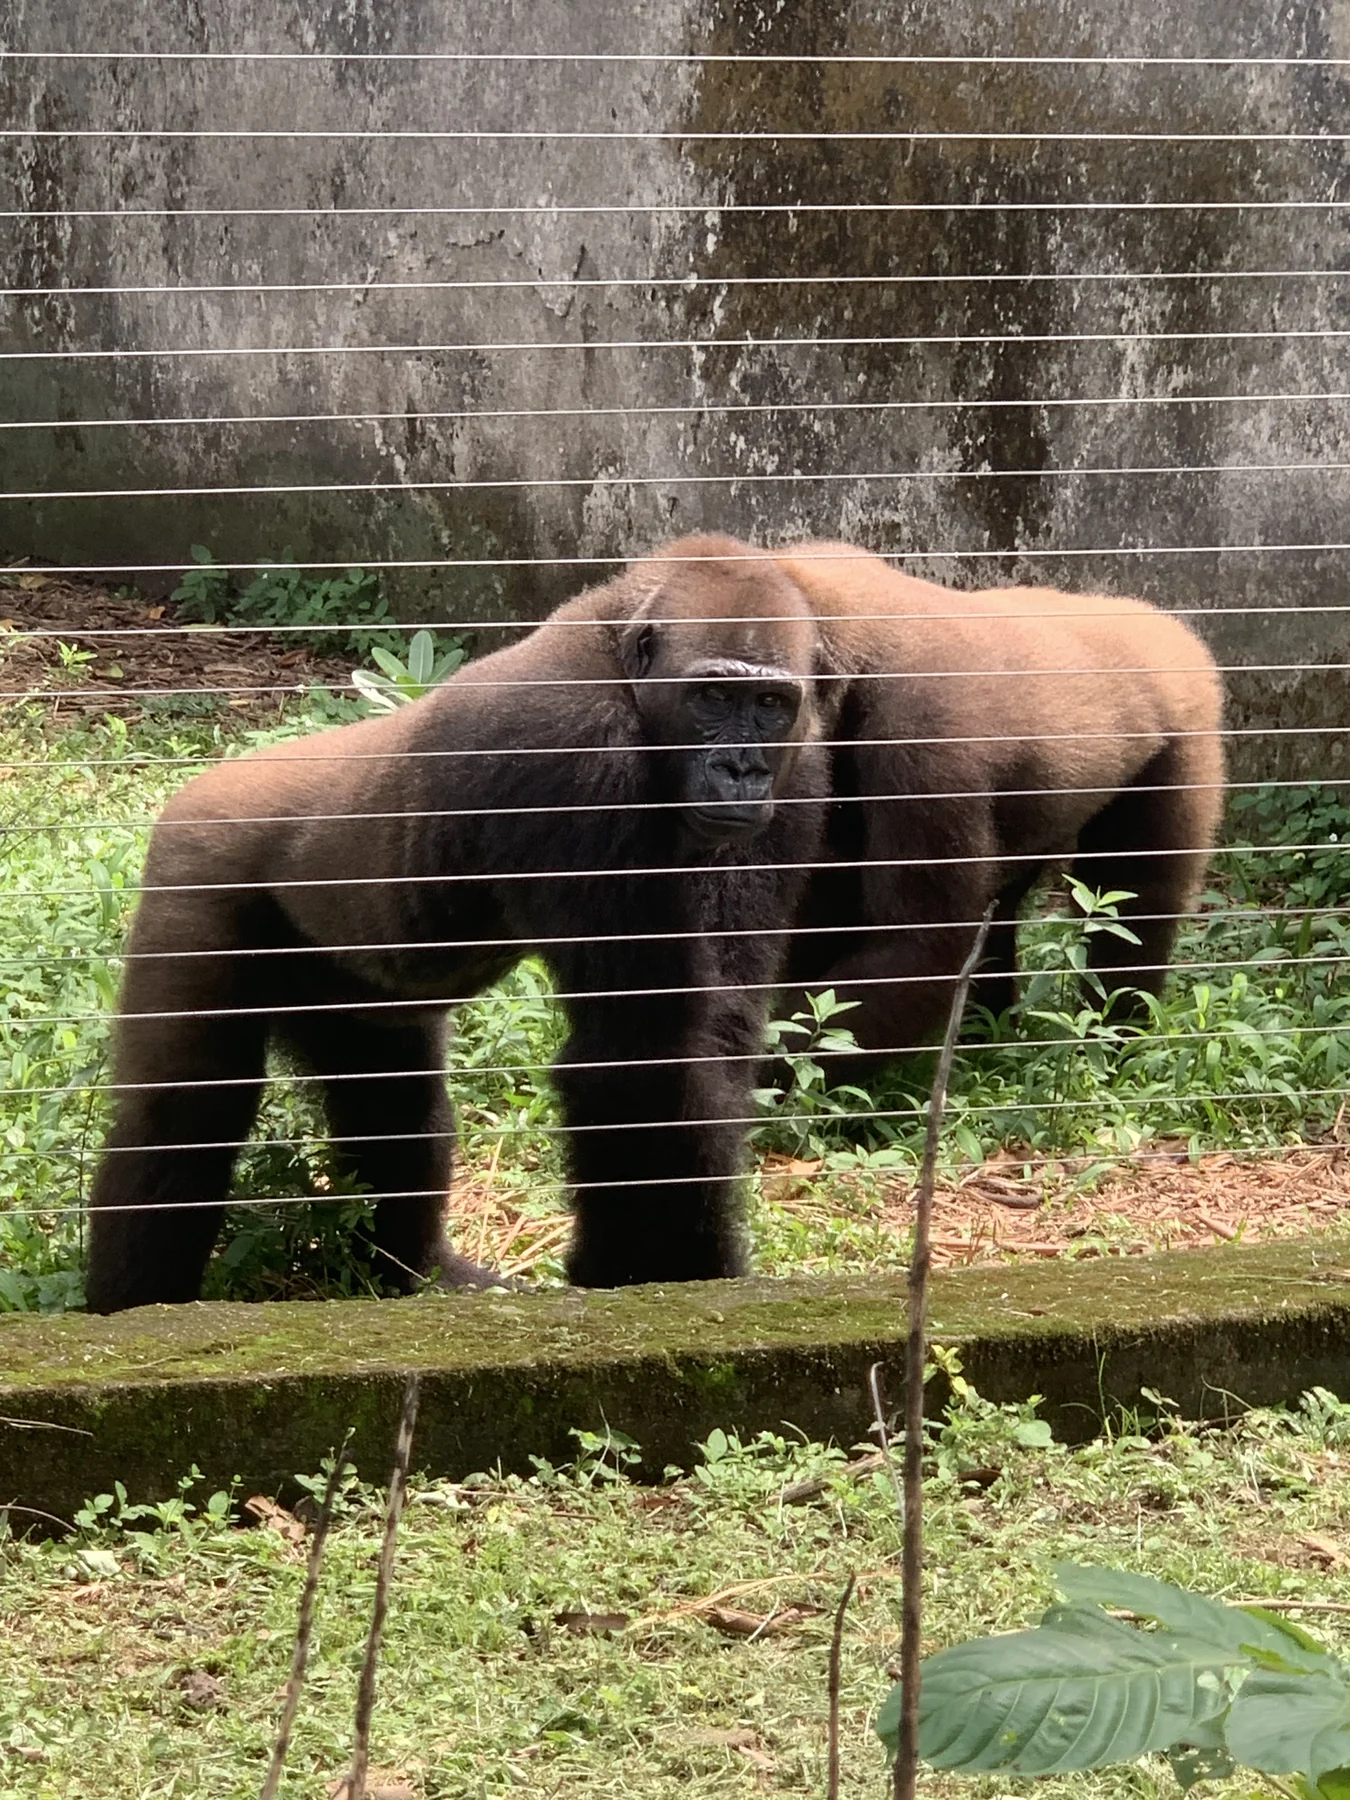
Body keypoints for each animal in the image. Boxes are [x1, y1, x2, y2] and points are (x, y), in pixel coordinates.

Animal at [84, 536, 834, 1311]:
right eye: (713, 696)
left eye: (770, 705)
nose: (741, 769)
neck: (621, 660)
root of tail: (201, 785)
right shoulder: (577, 757)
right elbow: (640, 1051)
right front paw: (646, 1280)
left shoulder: (799, 769)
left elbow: (712, 1034)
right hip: (196, 866)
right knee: (185, 1111)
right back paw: (136, 1305)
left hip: (347, 978)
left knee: (394, 1104)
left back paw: (408, 1272)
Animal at [769, 542, 1225, 1066]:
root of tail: (1162, 623)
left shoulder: (925, 747)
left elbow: (919, 949)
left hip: (1185, 721)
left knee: (1136, 896)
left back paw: (1114, 1037)